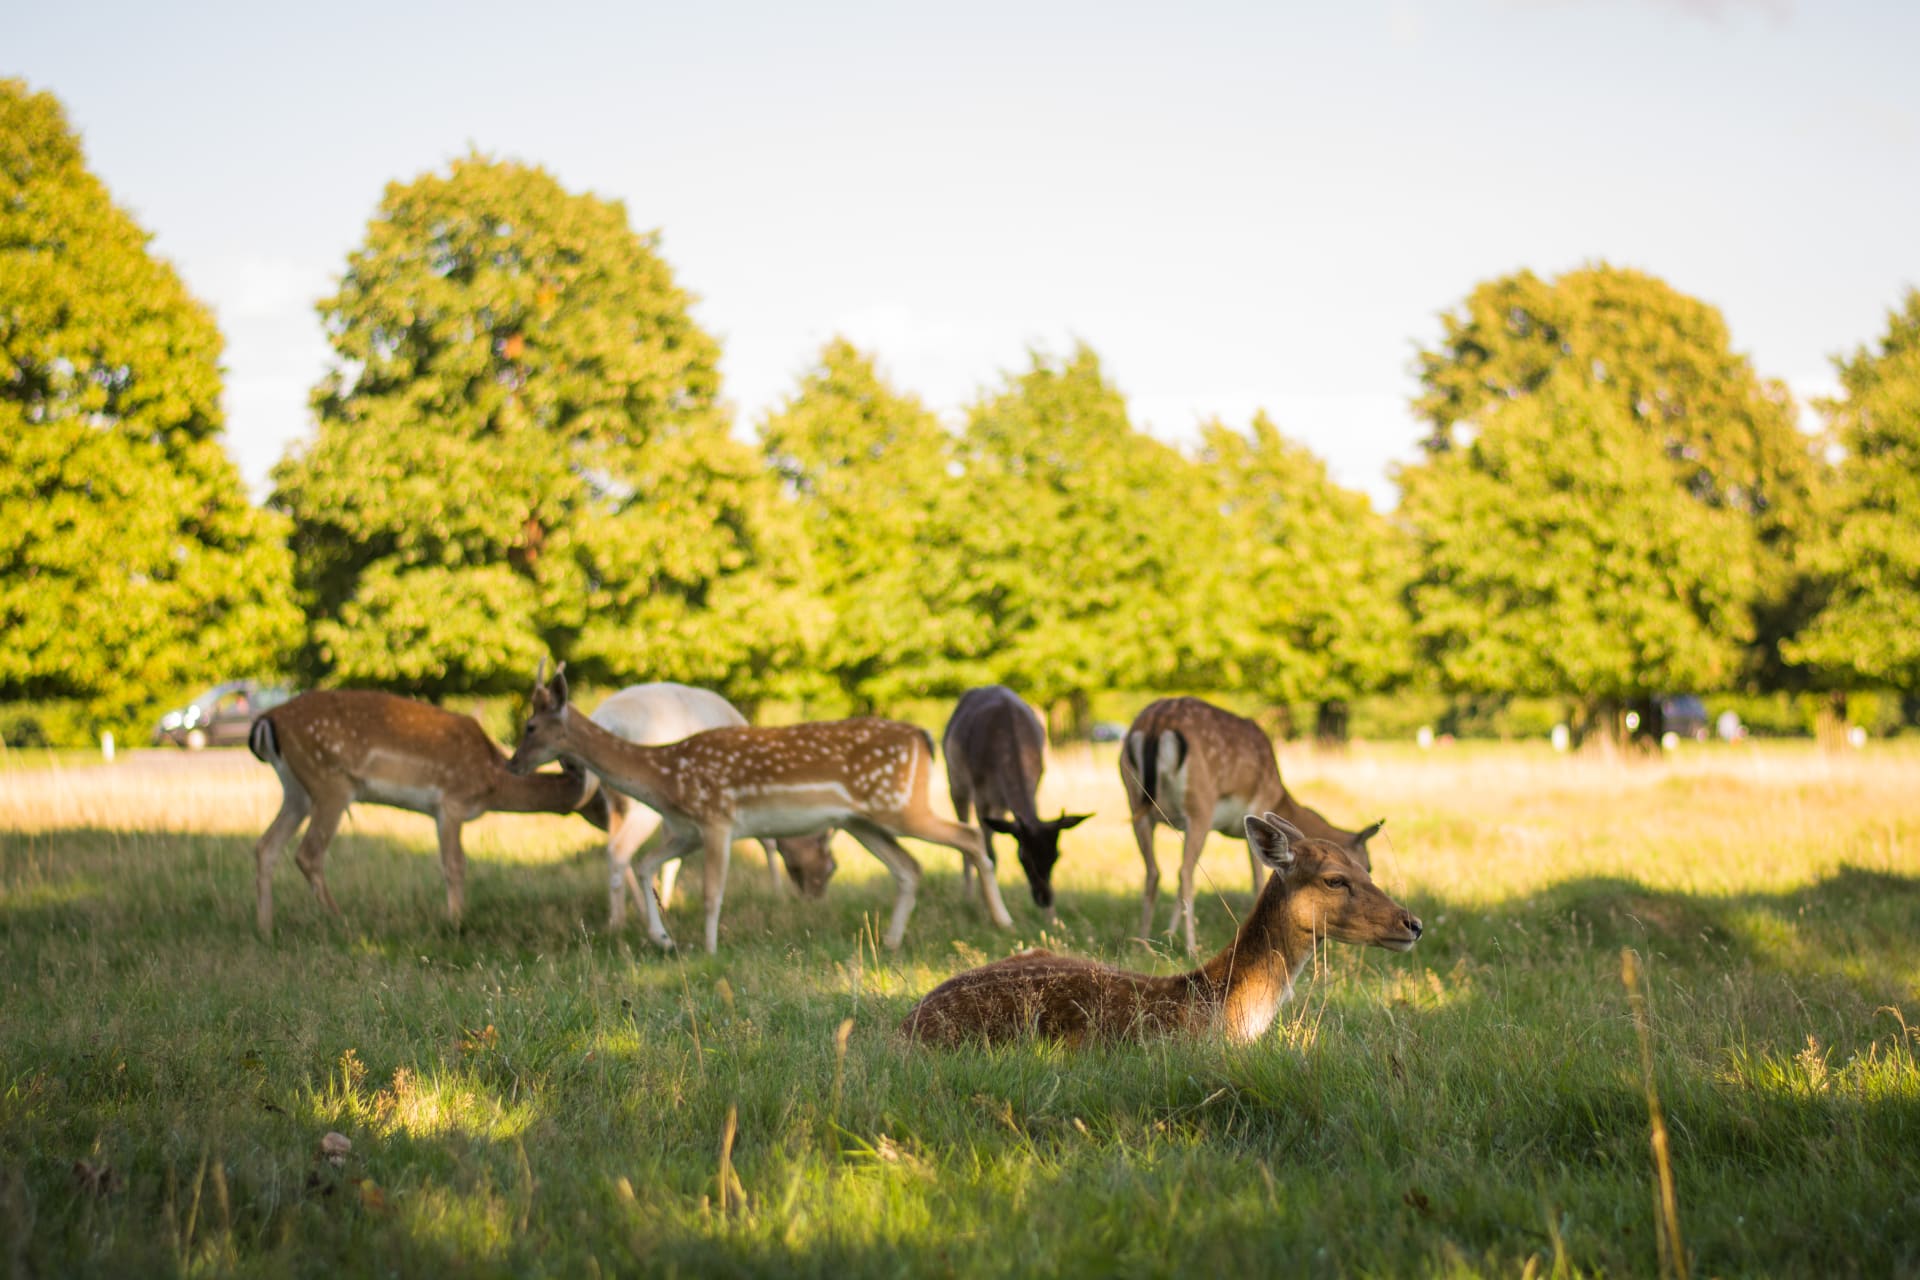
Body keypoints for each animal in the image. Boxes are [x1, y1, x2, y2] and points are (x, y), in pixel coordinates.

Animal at [247, 689, 609, 935]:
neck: (493, 783)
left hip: (296, 789)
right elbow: (455, 865)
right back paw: (340, 921)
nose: (611, 821)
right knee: (307, 853)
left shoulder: (441, 811)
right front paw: (456, 922)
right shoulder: (451, 803)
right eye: (601, 796)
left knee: (266, 845)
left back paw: (265, 928)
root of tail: (266, 721)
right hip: (330, 782)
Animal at [586, 682, 836, 928]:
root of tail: (604, 718)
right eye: (831, 867)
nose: (816, 899)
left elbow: (672, 855)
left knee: (614, 845)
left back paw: (636, 910)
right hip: (641, 800)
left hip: (613, 797)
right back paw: (618, 922)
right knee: (619, 849)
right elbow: (768, 841)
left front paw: (666, 903)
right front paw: (778, 894)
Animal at [941, 685, 1091, 917]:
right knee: (964, 831)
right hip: (955, 781)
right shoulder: (980, 793)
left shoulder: (1036, 783)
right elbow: (990, 854)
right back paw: (968, 897)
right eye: (1023, 857)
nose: (1044, 898)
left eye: (1056, 856)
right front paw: (989, 911)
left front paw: (1052, 919)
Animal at [1121, 696, 1384, 955]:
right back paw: (1192, 949)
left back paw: (1141, 945)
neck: (1279, 797)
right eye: (1367, 866)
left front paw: (1167, 937)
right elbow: (1258, 877)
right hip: (1199, 806)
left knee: (1154, 872)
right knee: (1184, 872)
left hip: (1136, 806)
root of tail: (1156, 724)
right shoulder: (1258, 809)